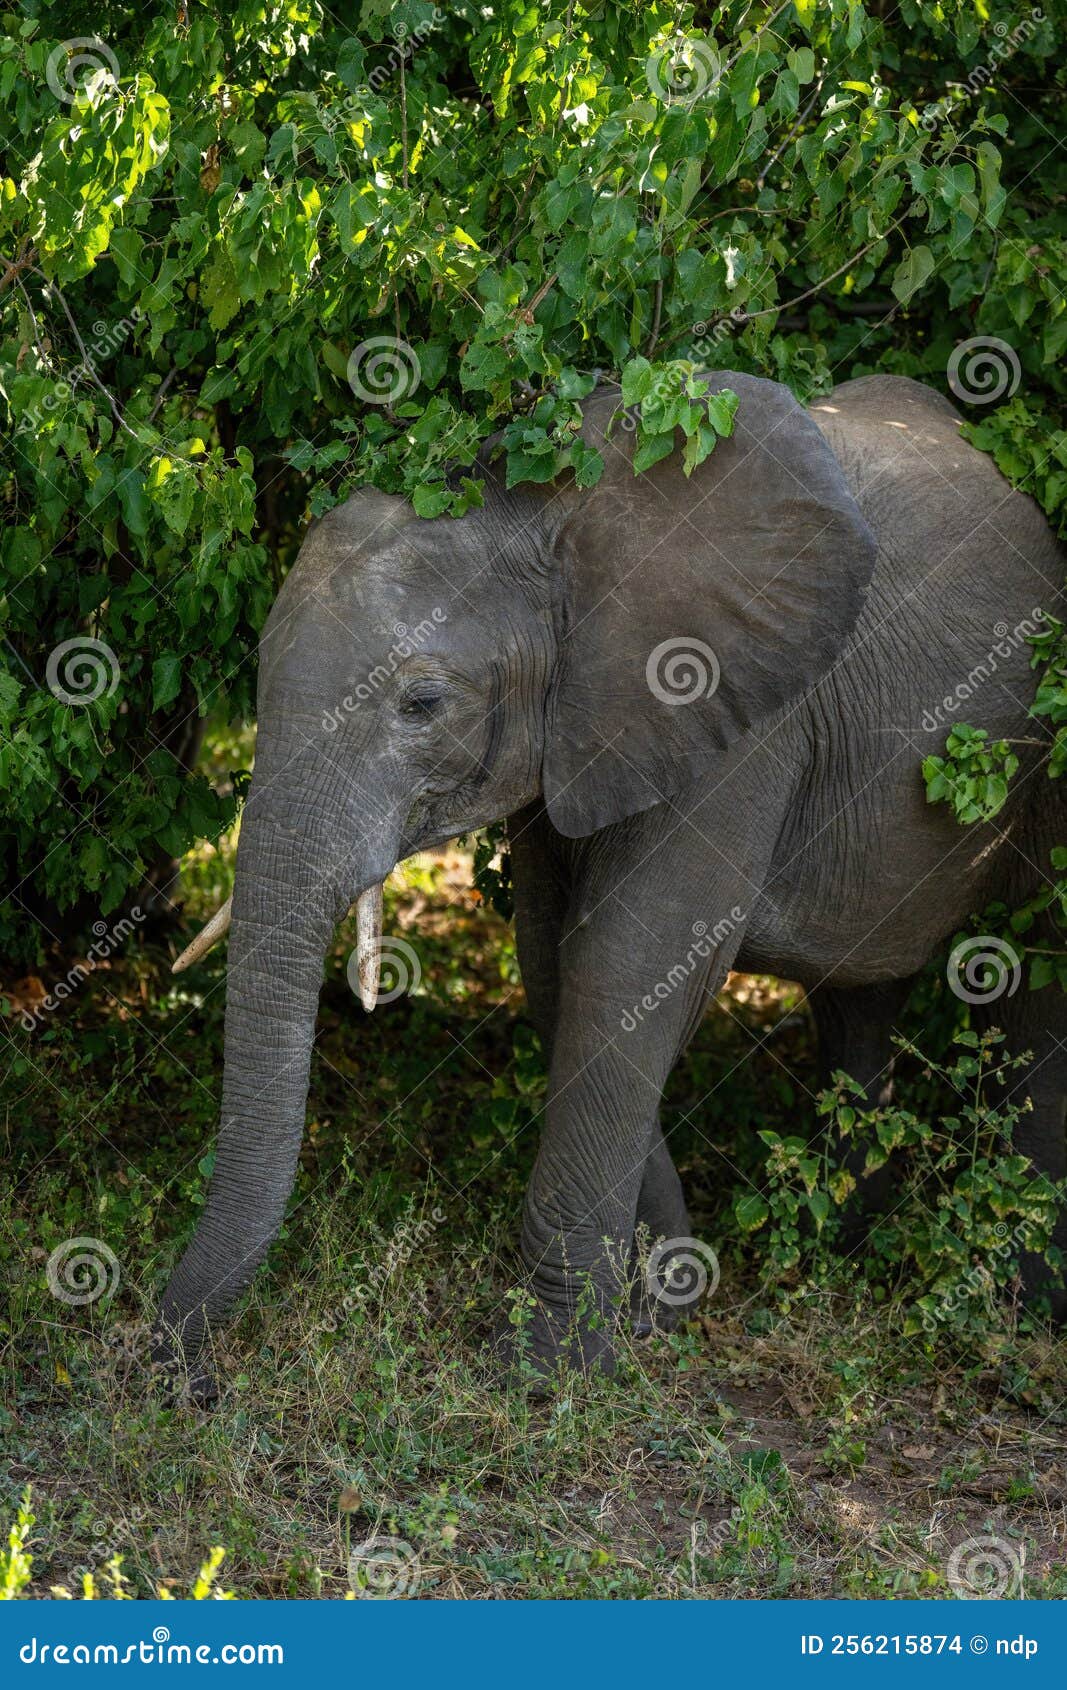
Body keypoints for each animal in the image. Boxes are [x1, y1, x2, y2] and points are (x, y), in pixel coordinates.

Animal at [155, 370, 1067, 1386]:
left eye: (422, 704)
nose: (180, 1367)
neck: (549, 514)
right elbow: (557, 967)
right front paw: (660, 1306)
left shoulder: (736, 713)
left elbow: (628, 961)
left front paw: (547, 1369)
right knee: (859, 999)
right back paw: (846, 1253)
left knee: (1034, 982)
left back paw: (1021, 1305)